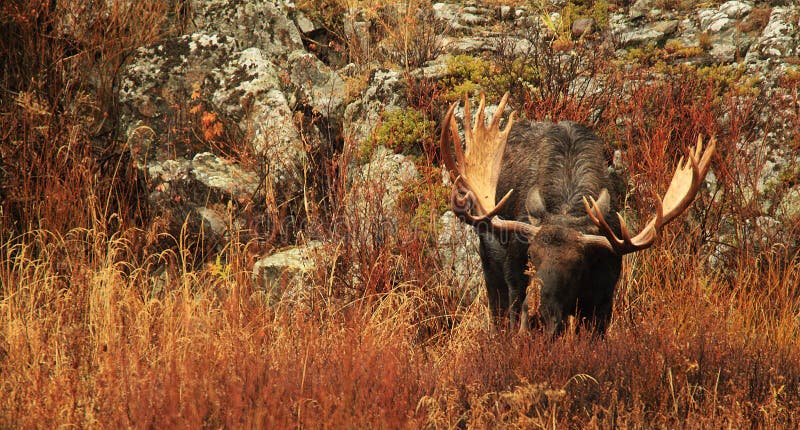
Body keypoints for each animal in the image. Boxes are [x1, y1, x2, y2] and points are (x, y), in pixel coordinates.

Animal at [440, 92, 715, 336]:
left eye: (577, 263)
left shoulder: (603, 299)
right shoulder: (515, 282)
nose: (537, 317)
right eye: (531, 255)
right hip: (491, 270)